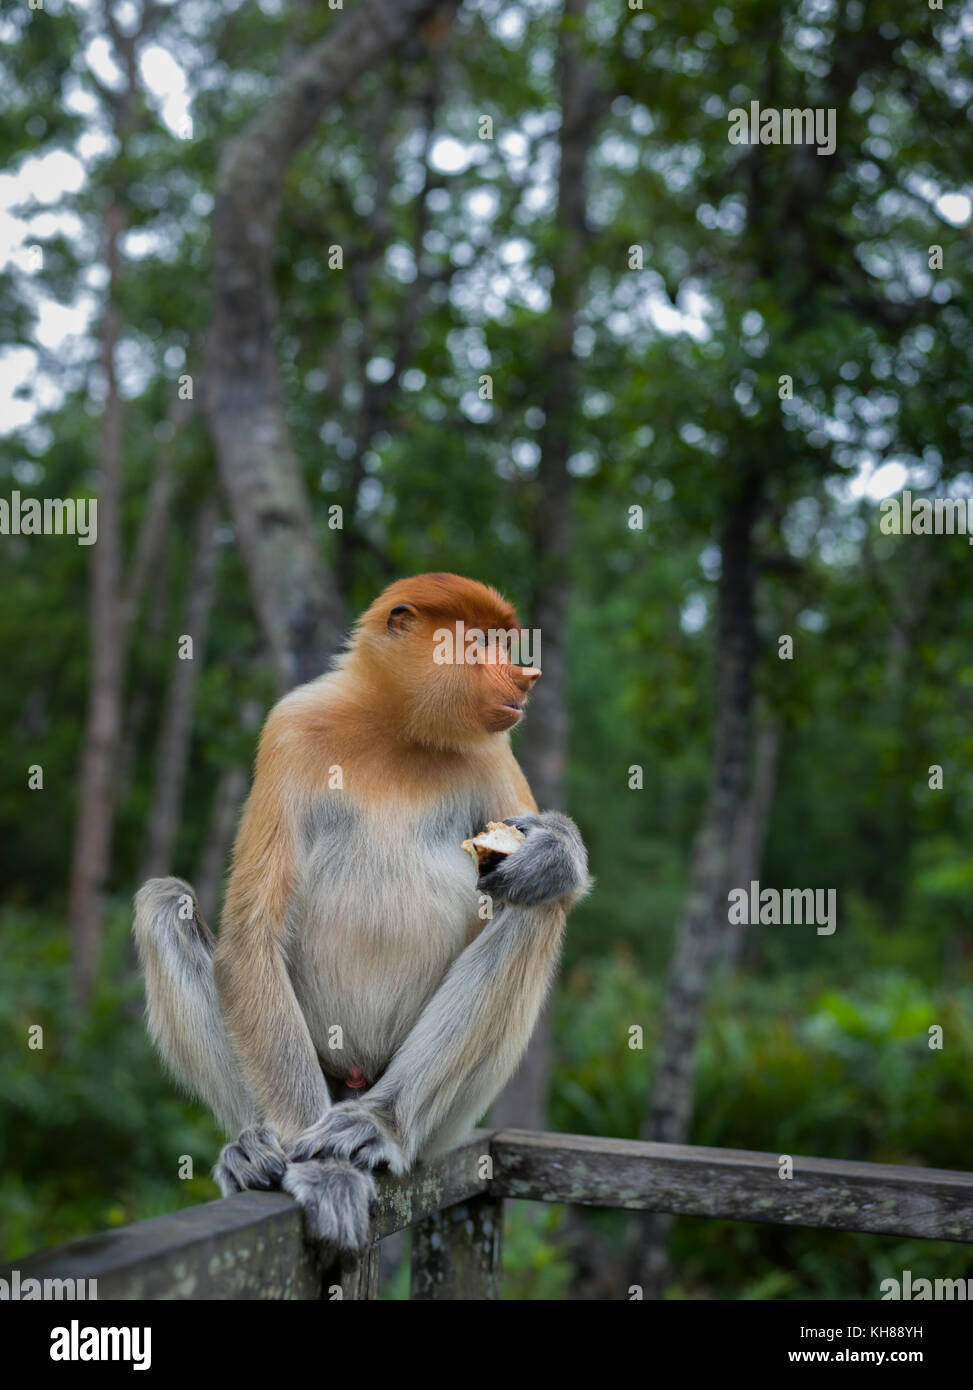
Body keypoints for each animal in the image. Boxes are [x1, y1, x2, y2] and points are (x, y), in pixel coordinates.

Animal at [134, 573, 589, 1261]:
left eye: (504, 643)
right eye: (479, 643)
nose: (526, 675)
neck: (395, 726)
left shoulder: (492, 749)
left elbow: (539, 877)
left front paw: (551, 853)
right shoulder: (291, 729)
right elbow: (250, 941)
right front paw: (321, 1173)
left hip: (448, 1119)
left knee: (534, 910)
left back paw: (379, 1124)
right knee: (165, 902)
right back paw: (255, 1149)